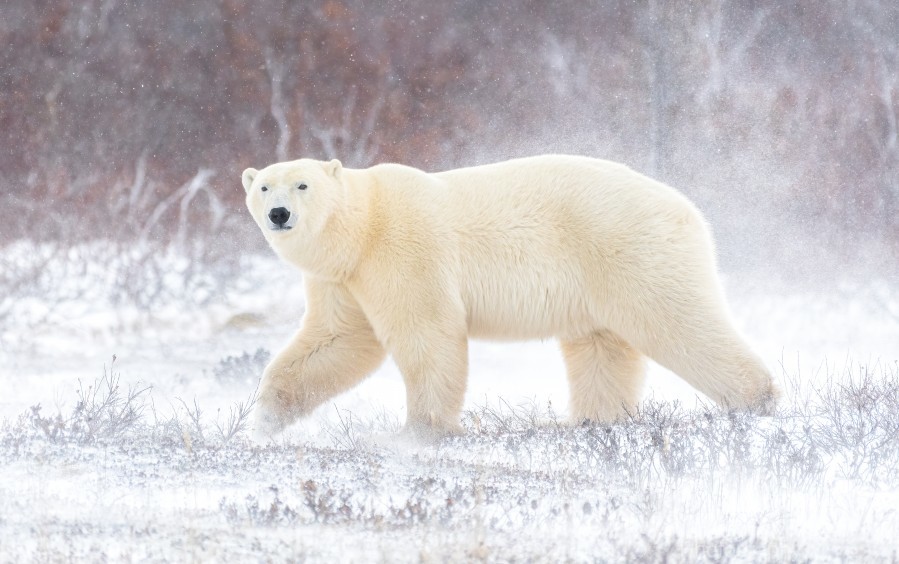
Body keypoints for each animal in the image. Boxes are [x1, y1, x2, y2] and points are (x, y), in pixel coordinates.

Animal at [241, 155, 777, 438]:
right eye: (264, 186)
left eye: (302, 184)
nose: (279, 214)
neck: (363, 226)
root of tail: (689, 210)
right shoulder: (343, 278)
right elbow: (337, 340)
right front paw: (262, 421)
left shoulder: (405, 251)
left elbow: (428, 333)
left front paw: (423, 430)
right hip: (598, 281)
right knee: (602, 349)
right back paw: (596, 422)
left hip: (629, 250)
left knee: (677, 321)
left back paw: (755, 400)